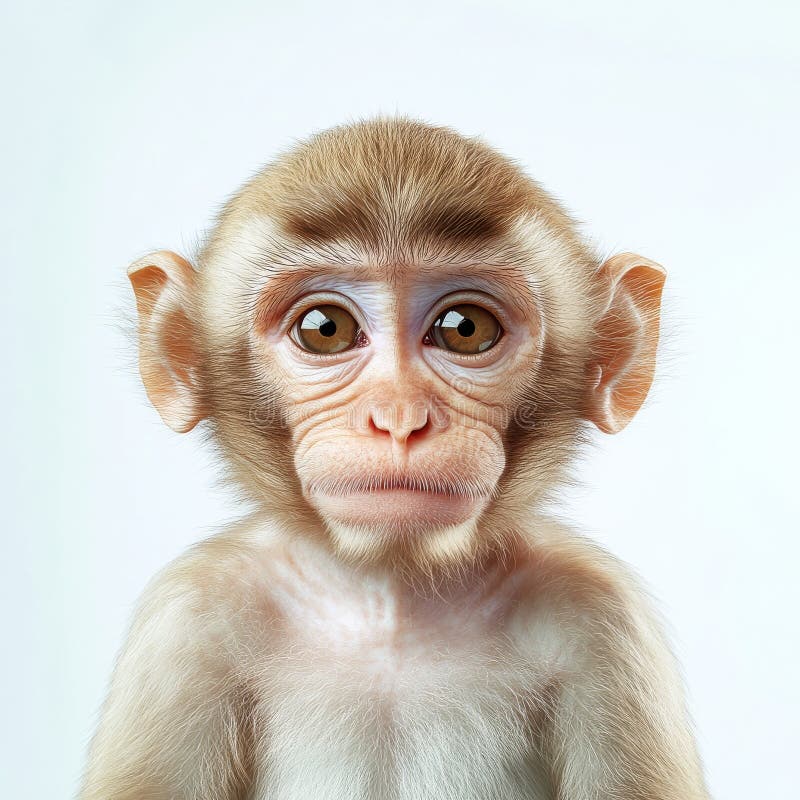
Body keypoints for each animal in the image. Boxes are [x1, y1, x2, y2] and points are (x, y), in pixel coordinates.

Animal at [81, 118, 710, 800]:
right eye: (324, 328)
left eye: (466, 328)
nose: (400, 418)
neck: (391, 602)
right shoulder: (183, 624)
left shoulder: (607, 624)